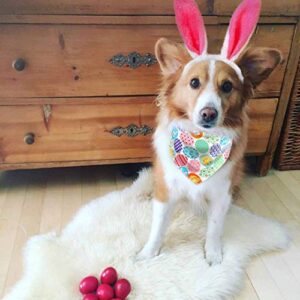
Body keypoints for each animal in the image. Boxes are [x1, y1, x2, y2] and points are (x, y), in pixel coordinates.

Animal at [137, 0, 282, 264]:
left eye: (227, 86)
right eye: (194, 82)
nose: (208, 113)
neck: (199, 144)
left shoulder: (221, 194)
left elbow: (215, 227)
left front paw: (213, 254)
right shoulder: (167, 190)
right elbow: (158, 226)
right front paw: (149, 253)